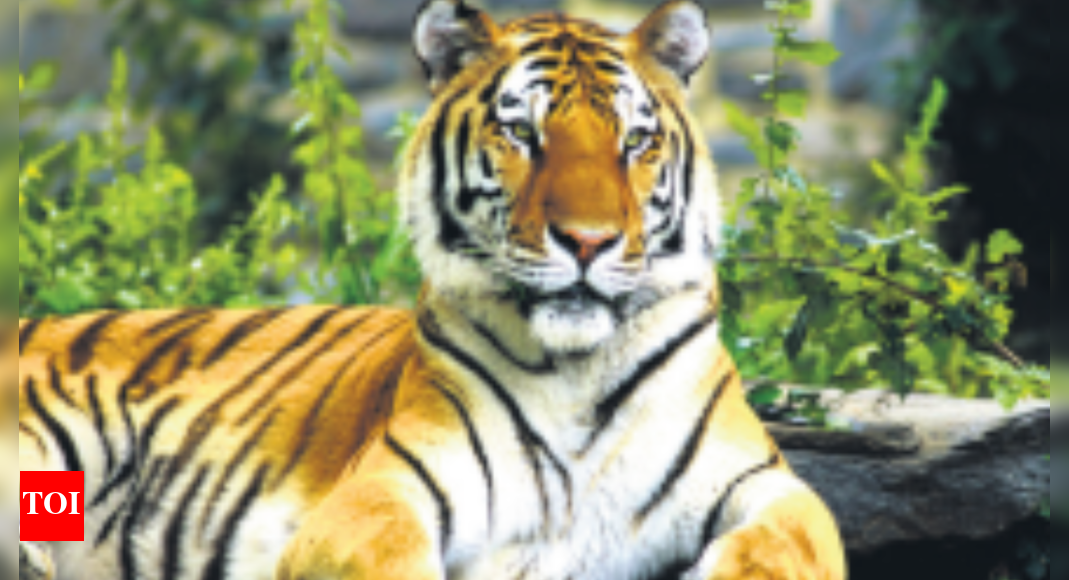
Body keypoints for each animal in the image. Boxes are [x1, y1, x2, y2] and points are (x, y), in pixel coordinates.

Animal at [15, 1, 847, 579]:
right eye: (523, 135)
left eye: (634, 142)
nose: (587, 242)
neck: (577, 370)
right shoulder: (380, 493)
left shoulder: (769, 487)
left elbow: (786, 546)